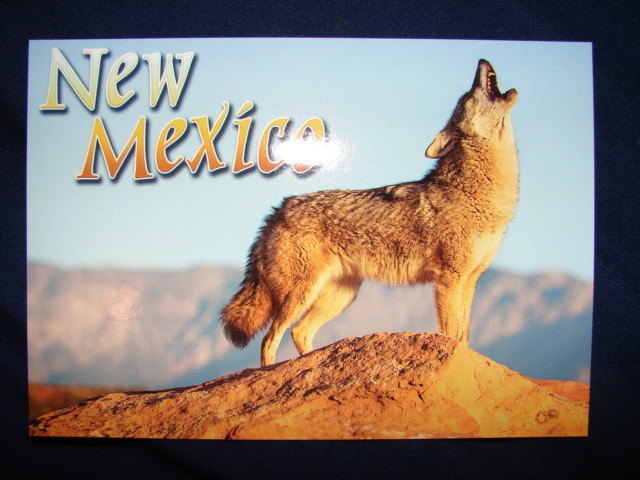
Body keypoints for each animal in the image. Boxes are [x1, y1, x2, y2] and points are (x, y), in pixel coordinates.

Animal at [221, 59, 519, 366]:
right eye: (466, 97)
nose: (482, 60)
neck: (476, 192)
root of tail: (276, 210)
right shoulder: (449, 279)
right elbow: (451, 333)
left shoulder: (470, 280)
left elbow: (464, 335)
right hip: (301, 296)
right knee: (270, 339)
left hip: (340, 297)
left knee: (299, 333)